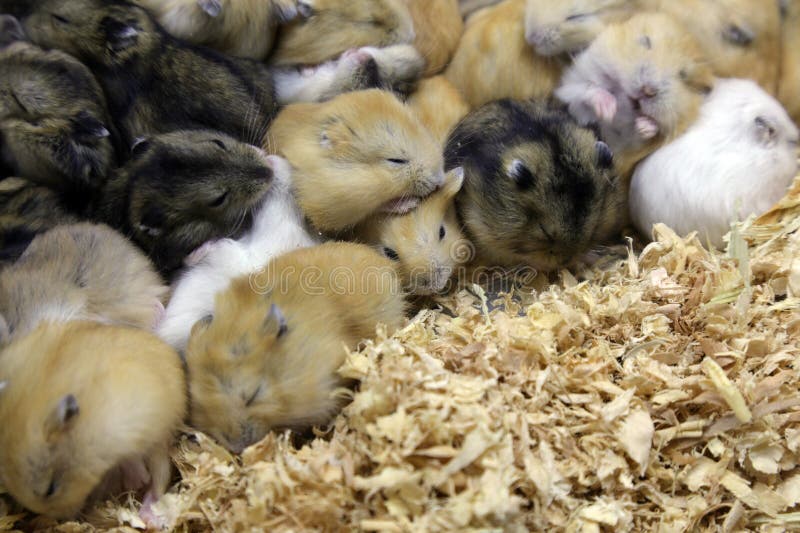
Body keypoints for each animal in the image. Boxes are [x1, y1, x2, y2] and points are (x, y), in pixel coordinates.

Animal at [0, 321, 186, 519]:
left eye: (50, 489)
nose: (66, 516)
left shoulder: (139, 418)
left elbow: (130, 456)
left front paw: (139, 480)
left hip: (161, 441)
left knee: (160, 478)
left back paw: (147, 513)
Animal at [555, 12, 715, 178]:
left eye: (683, 75)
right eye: (646, 41)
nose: (648, 90)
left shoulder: (625, 145)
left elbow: (637, 137)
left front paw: (645, 125)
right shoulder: (572, 89)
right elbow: (586, 91)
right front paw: (608, 108)